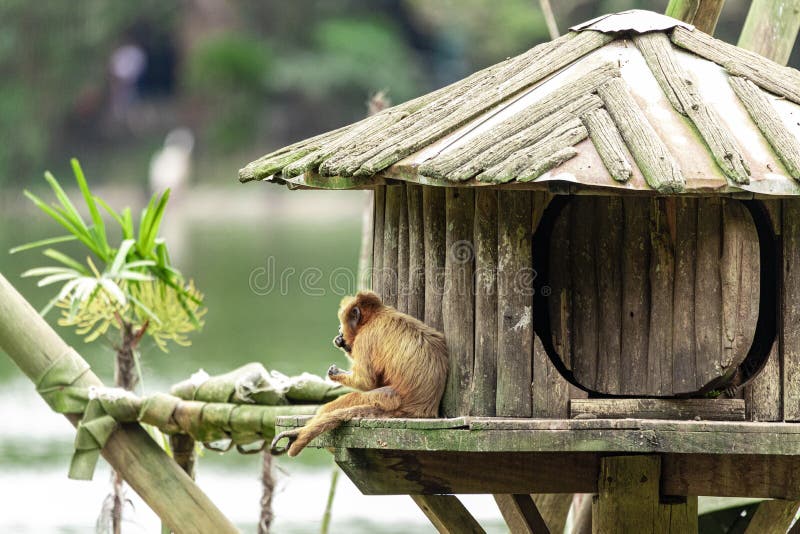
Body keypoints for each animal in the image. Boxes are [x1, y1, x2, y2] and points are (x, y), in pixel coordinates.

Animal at [270, 290, 448, 457]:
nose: (339, 329)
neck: (377, 315)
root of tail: (422, 408)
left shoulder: (365, 338)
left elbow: (367, 382)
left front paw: (336, 372)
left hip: (387, 399)